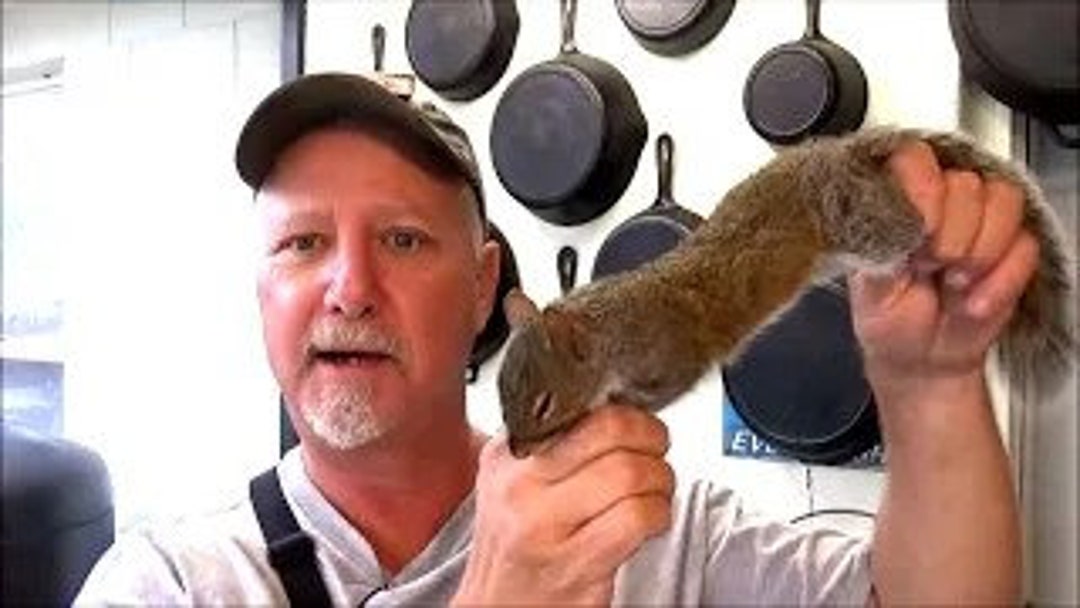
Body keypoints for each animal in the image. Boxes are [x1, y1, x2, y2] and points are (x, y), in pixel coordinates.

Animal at [497, 127, 1076, 458]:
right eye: (502, 395)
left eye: (544, 404)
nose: (519, 452)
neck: (607, 329)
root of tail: (837, 151)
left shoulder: (669, 356)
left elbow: (657, 392)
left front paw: (613, 411)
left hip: (858, 219)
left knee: (903, 228)